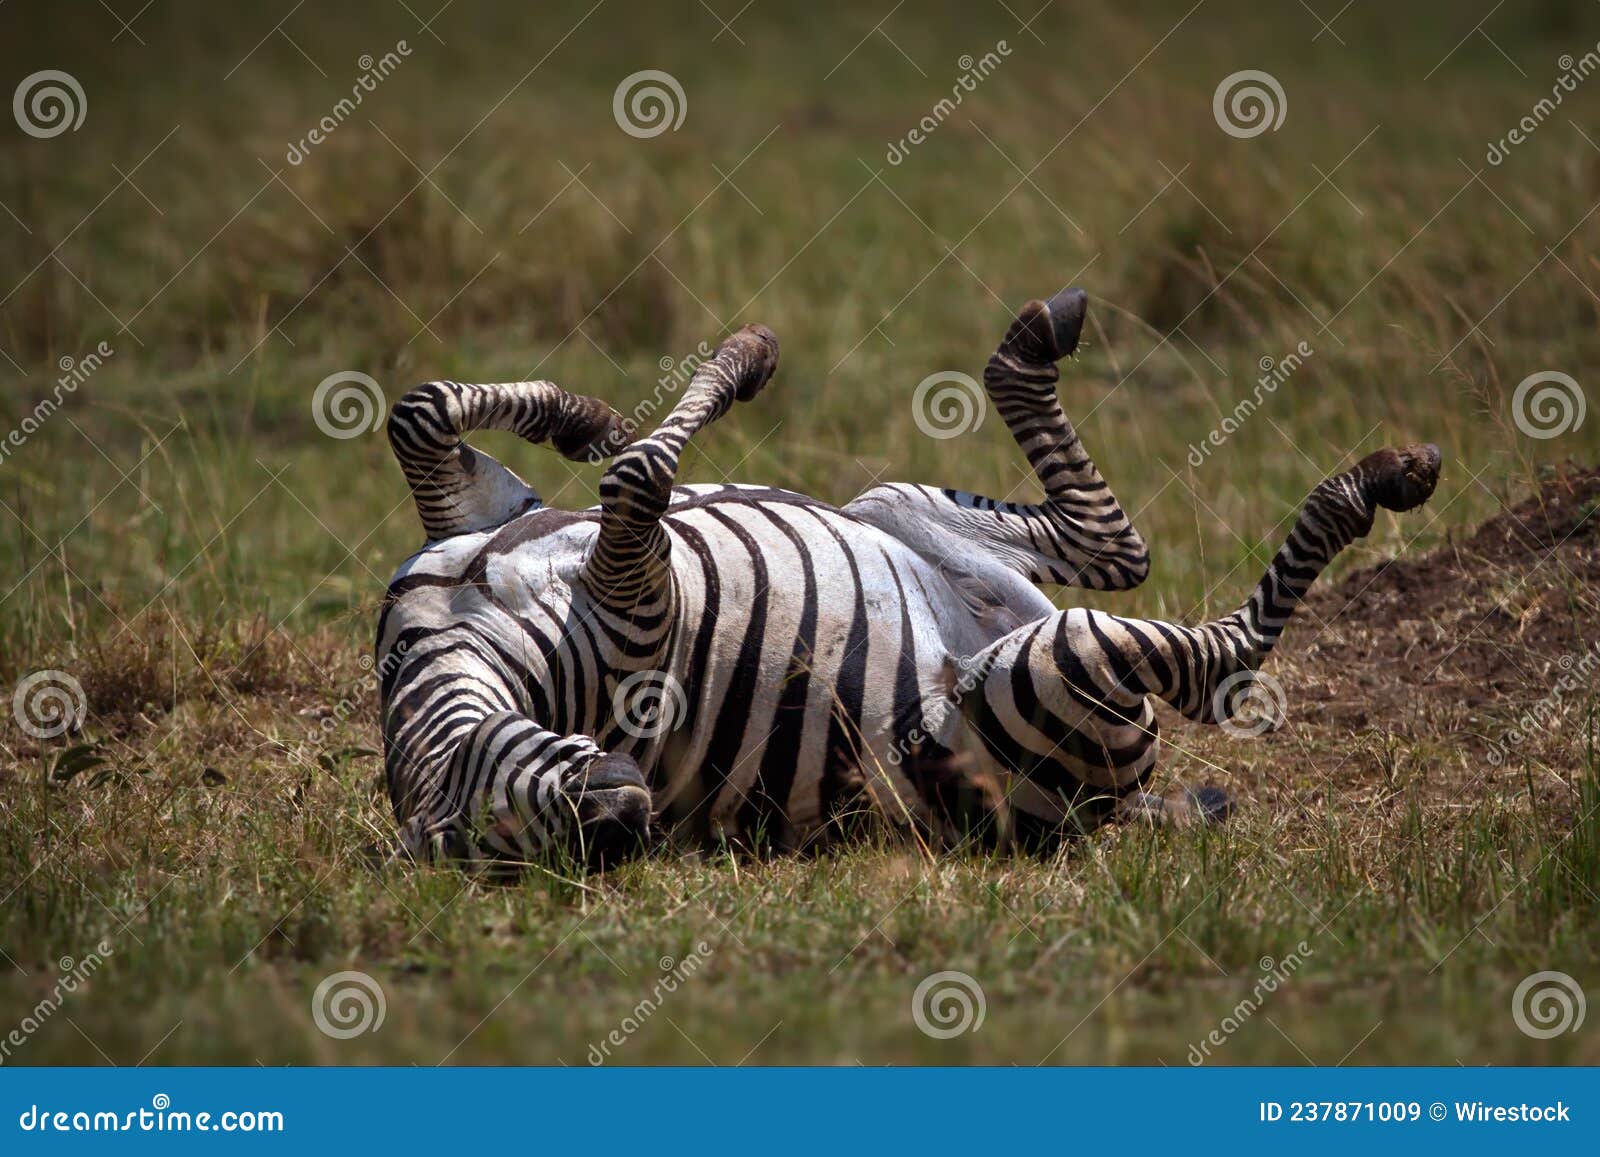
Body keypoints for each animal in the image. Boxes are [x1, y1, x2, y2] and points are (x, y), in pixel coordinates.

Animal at [377, 287, 1442, 871]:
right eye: (529, 835)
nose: (627, 803)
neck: (461, 652)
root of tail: (1110, 810)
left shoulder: (478, 519)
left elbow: (421, 411)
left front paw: (588, 414)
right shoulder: (641, 601)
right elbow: (636, 476)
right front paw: (705, 381)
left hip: (903, 513)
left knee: (1113, 546)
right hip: (1058, 669)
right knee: (1213, 655)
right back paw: (1361, 492)